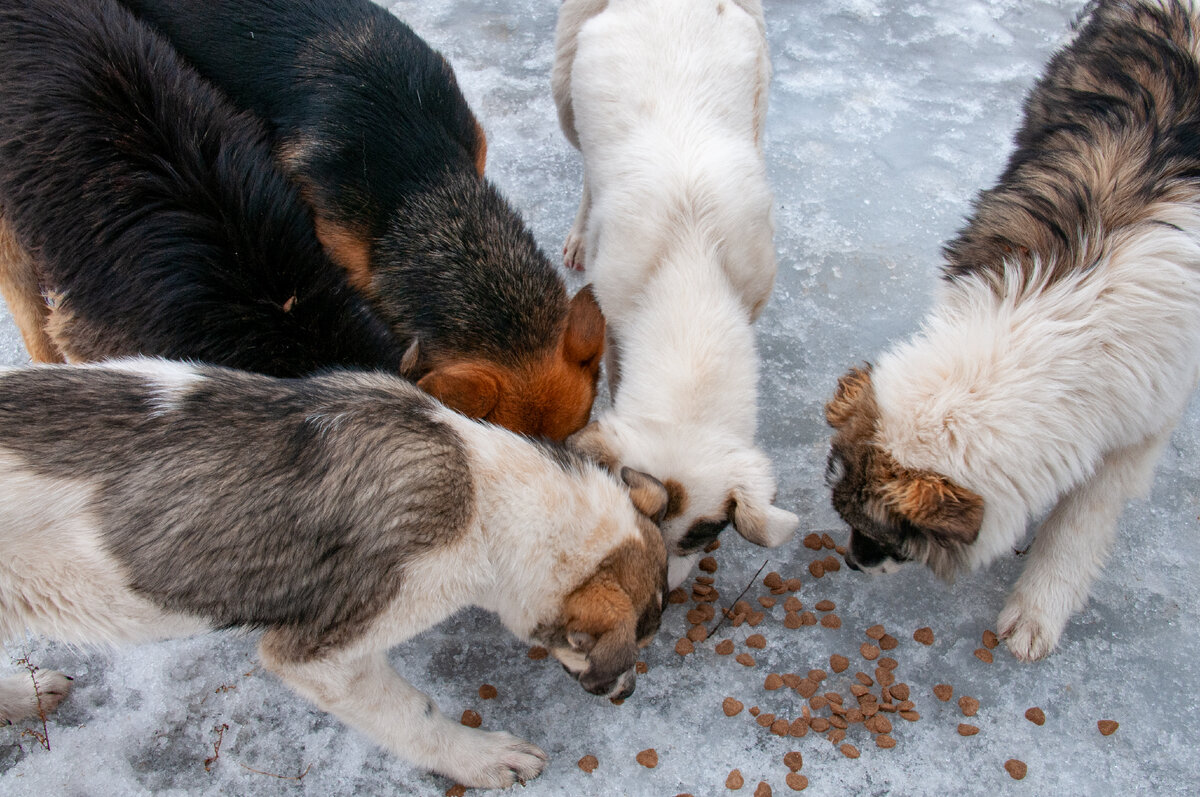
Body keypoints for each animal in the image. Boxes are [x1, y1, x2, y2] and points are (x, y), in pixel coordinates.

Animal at [0, 357, 672, 787]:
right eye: (612, 646)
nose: (629, 694)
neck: (485, 490)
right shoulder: (322, 653)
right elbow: (411, 712)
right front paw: (479, 759)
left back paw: (25, 696)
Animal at [820, 0, 1200, 657]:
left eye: (892, 535)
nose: (852, 562)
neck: (1061, 325)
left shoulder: (1139, 424)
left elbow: (1080, 524)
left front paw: (1037, 609)